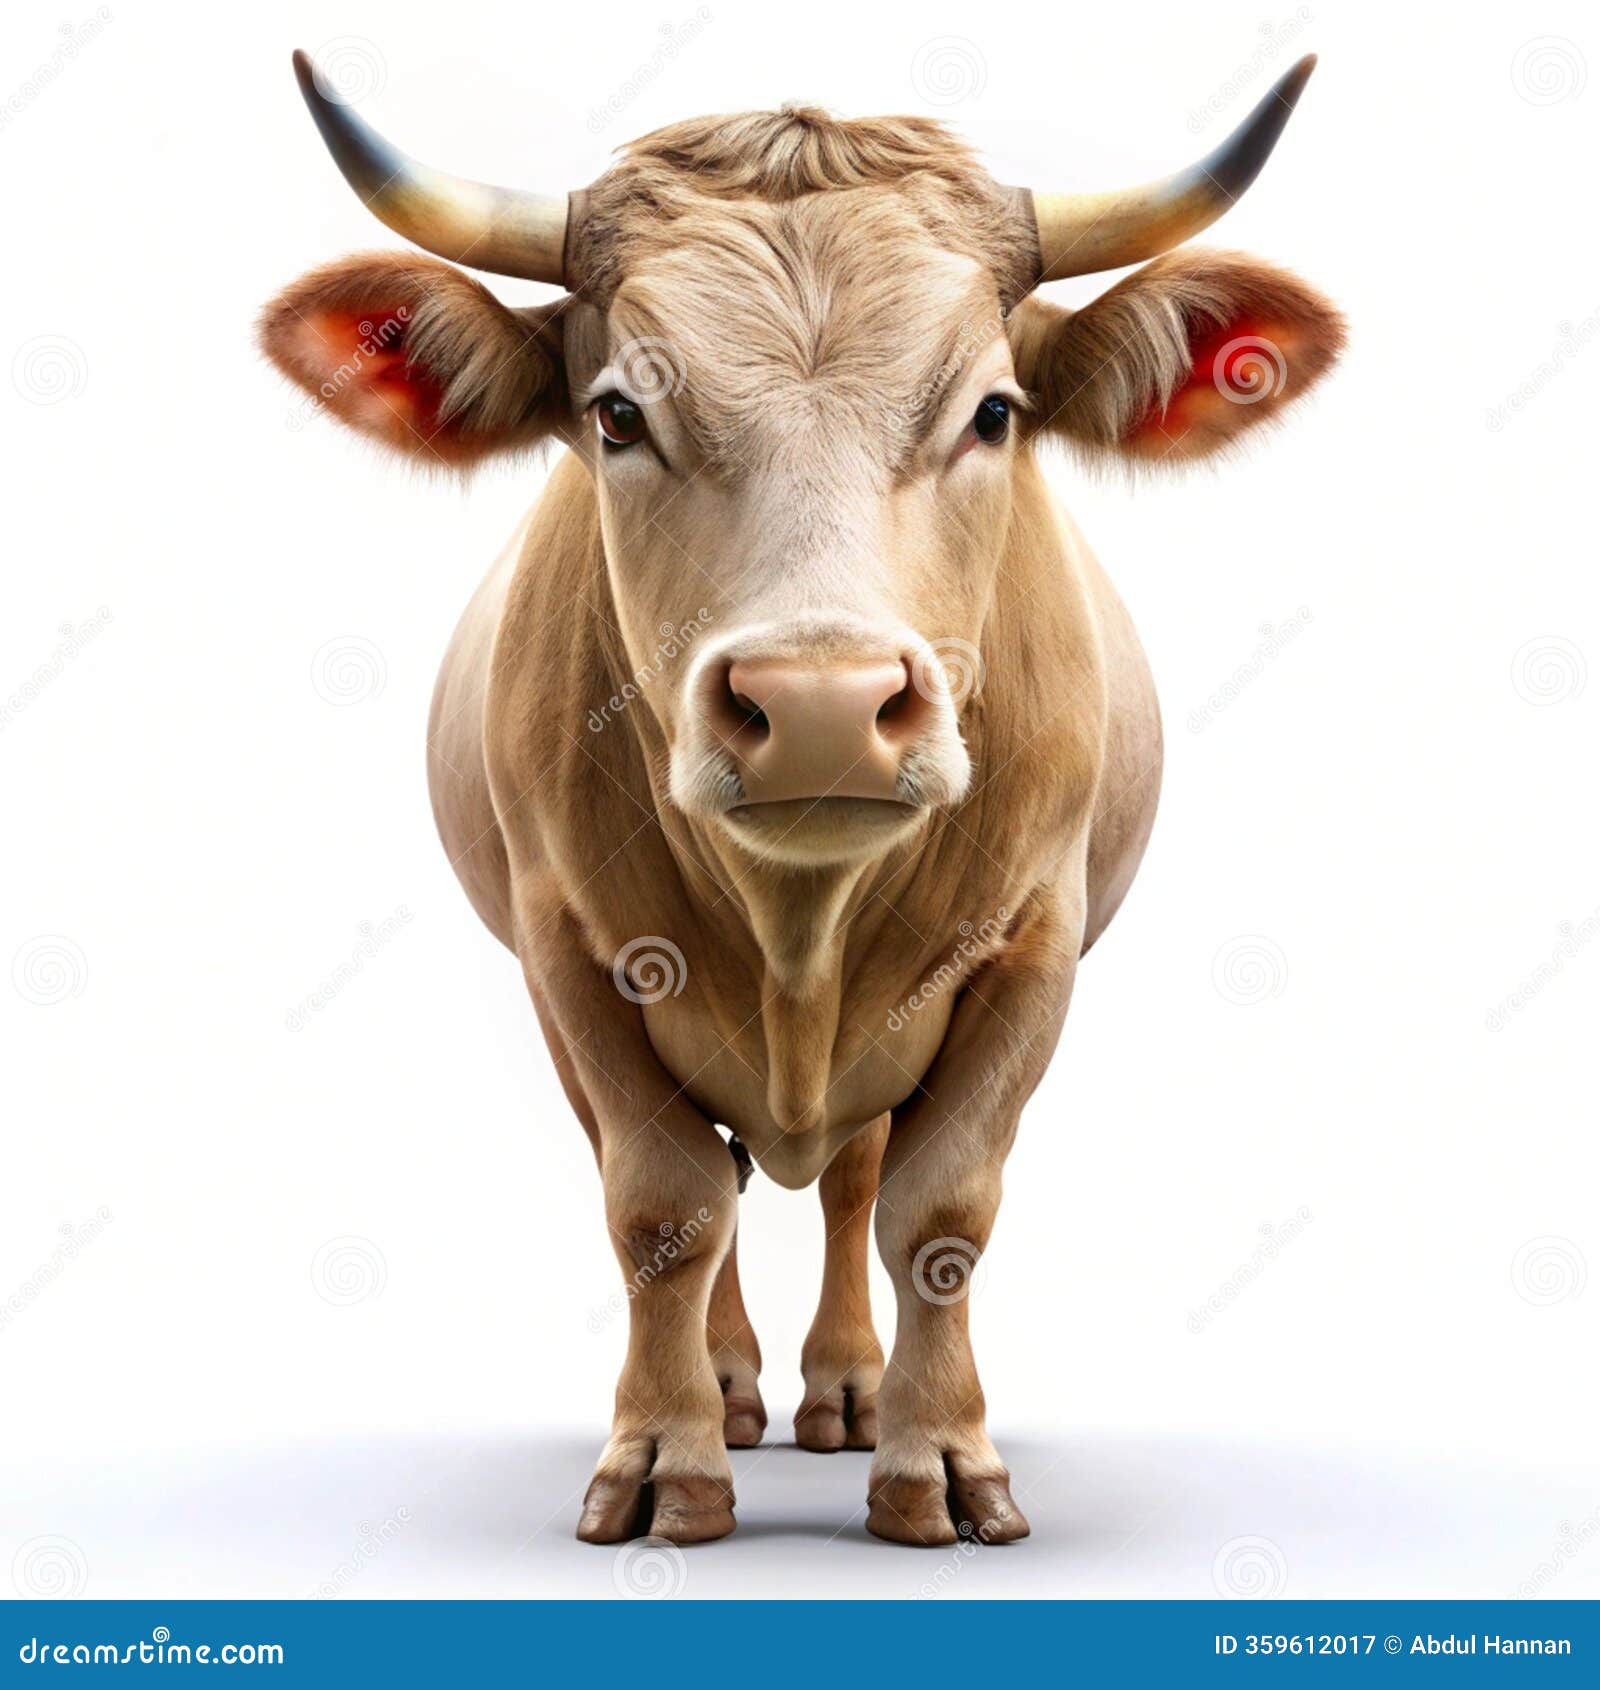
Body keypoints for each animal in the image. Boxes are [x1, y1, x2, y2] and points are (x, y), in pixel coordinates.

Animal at [260, 49, 1343, 1548]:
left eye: (992, 412)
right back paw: (727, 1390)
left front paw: (936, 1460)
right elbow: (659, 1203)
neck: (797, 933)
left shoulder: (1034, 947)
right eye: (619, 413)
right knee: (714, 1186)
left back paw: (846, 1392)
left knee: (847, 1180)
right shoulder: (566, 954)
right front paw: (664, 1460)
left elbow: (937, 1209)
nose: (821, 704)